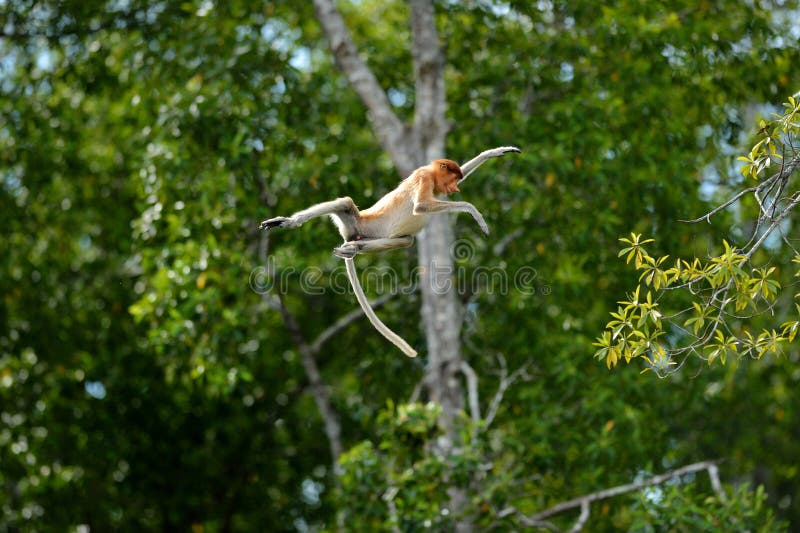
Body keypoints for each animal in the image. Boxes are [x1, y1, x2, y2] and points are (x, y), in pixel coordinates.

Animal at [261, 146, 521, 357]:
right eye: (453, 178)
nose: (455, 188)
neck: (432, 175)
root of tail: (351, 235)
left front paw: (495, 152)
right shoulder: (424, 178)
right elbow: (421, 206)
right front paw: (476, 214)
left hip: (370, 235)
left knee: (406, 240)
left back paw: (353, 249)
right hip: (359, 222)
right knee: (345, 203)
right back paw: (288, 222)